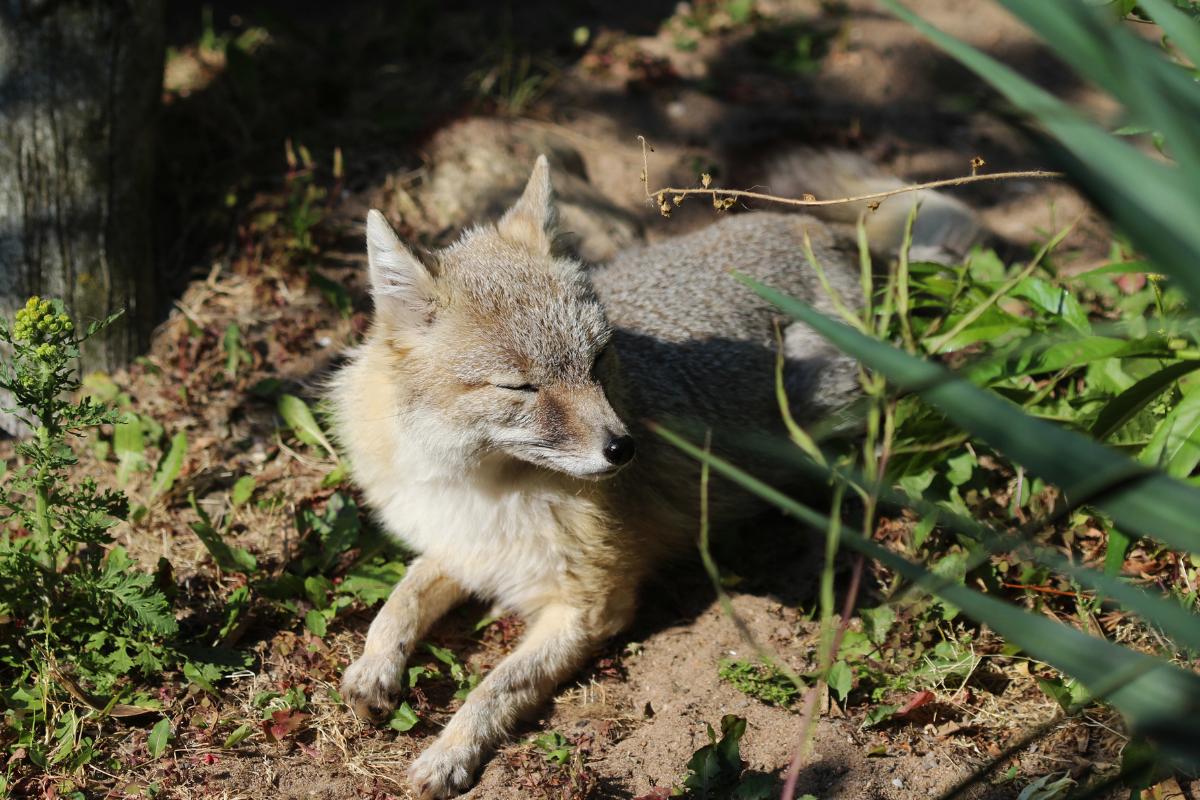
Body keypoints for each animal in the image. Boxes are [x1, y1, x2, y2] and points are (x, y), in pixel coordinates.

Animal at [330, 153, 978, 798]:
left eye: (597, 360)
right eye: (521, 387)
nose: (623, 449)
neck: (484, 491)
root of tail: (814, 228)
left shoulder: (593, 604)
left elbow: (498, 683)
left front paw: (451, 749)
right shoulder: (461, 545)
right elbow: (400, 601)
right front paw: (373, 669)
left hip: (831, 408)